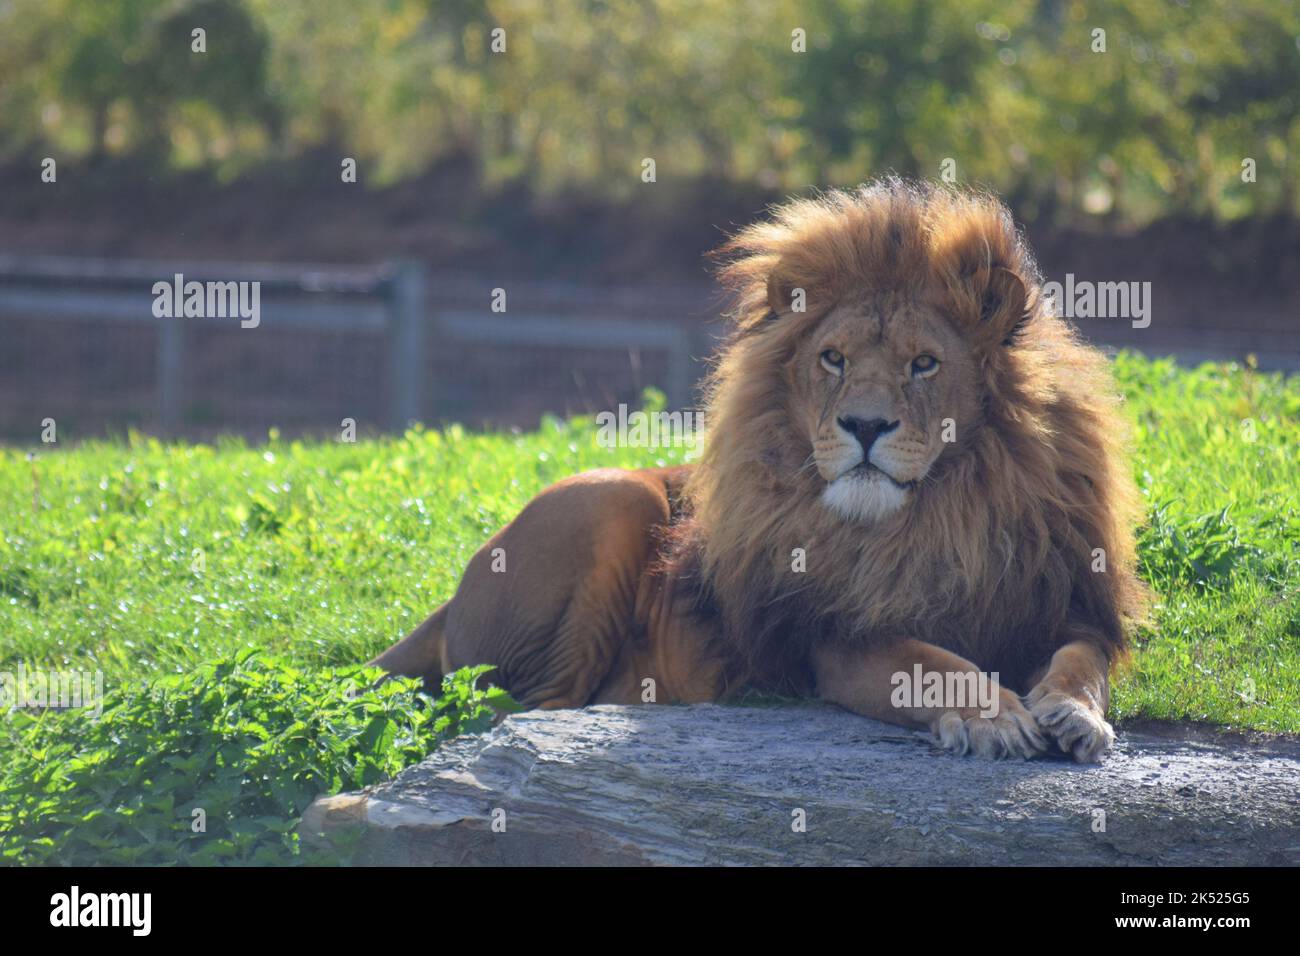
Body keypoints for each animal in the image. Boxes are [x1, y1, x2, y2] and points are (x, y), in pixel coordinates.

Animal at [371, 178, 1150, 761]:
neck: (943, 511)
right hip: (611, 497)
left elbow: (1083, 659)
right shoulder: (833, 640)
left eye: (924, 364)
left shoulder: (1062, 599)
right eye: (833, 358)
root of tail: (449, 601)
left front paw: (1074, 714)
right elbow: (932, 665)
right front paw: (996, 717)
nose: (865, 425)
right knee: (528, 708)